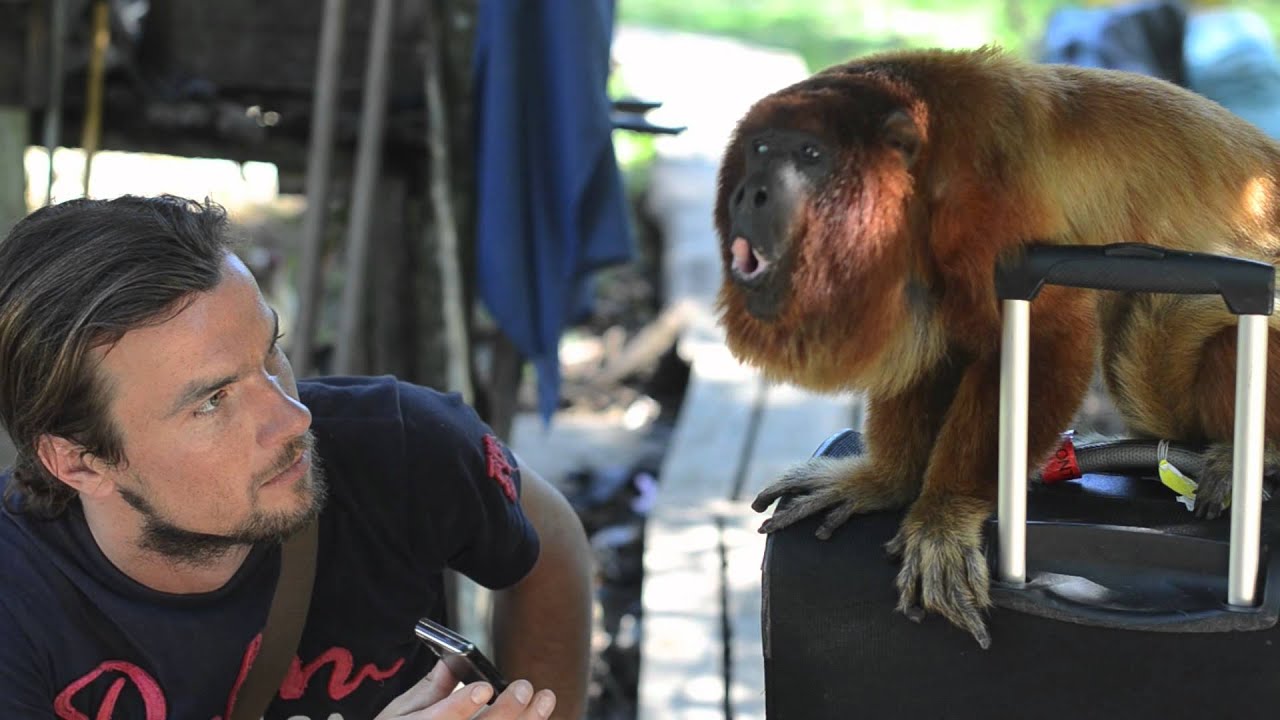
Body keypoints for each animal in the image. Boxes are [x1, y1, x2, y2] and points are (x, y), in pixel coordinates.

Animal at [714, 46, 1280, 649]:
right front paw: (884, 481)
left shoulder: (987, 208)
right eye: (760, 150)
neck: (923, 166)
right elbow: (936, 352)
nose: (750, 193)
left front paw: (943, 516)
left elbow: (1049, 336)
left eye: (810, 155)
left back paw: (1260, 452)